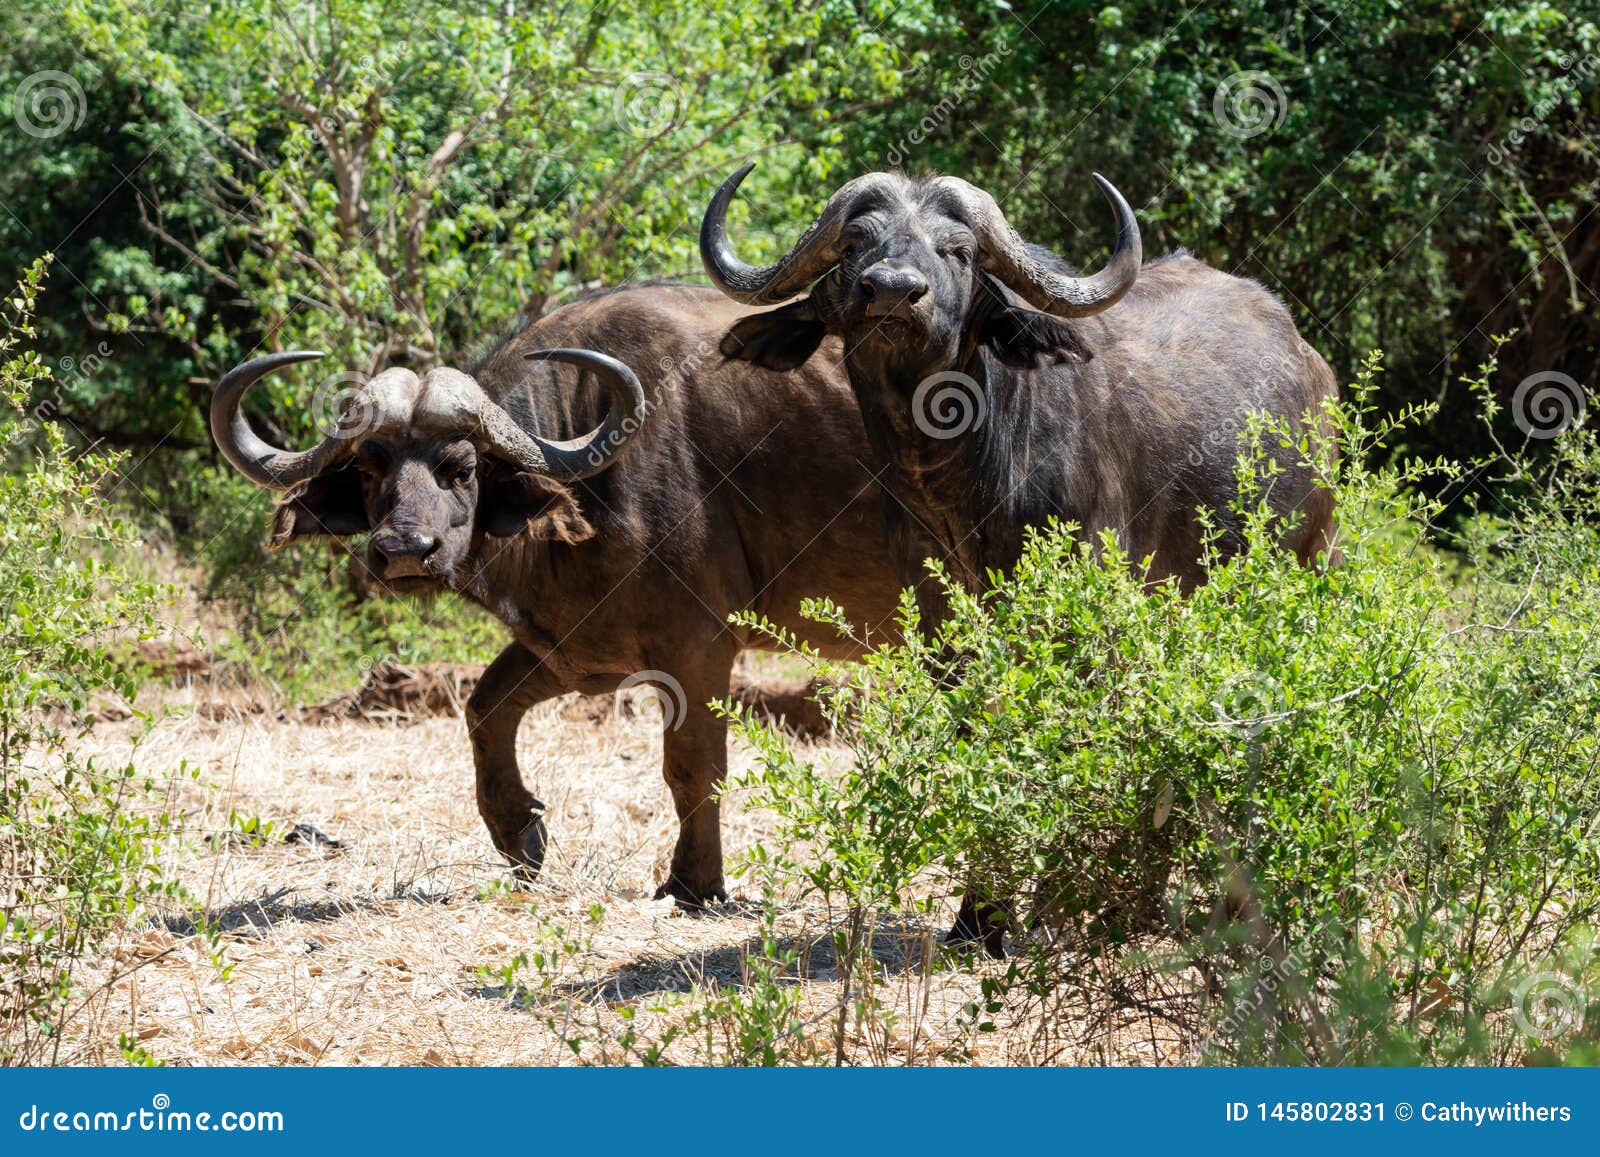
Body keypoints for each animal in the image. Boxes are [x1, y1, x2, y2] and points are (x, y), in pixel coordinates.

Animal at [211, 285, 903, 907]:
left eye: (462, 469)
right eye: (367, 468)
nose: (405, 551)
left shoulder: (698, 649)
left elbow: (692, 765)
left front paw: (693, 885)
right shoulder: (579, 647)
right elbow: (485, 708)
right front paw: (520, 834)